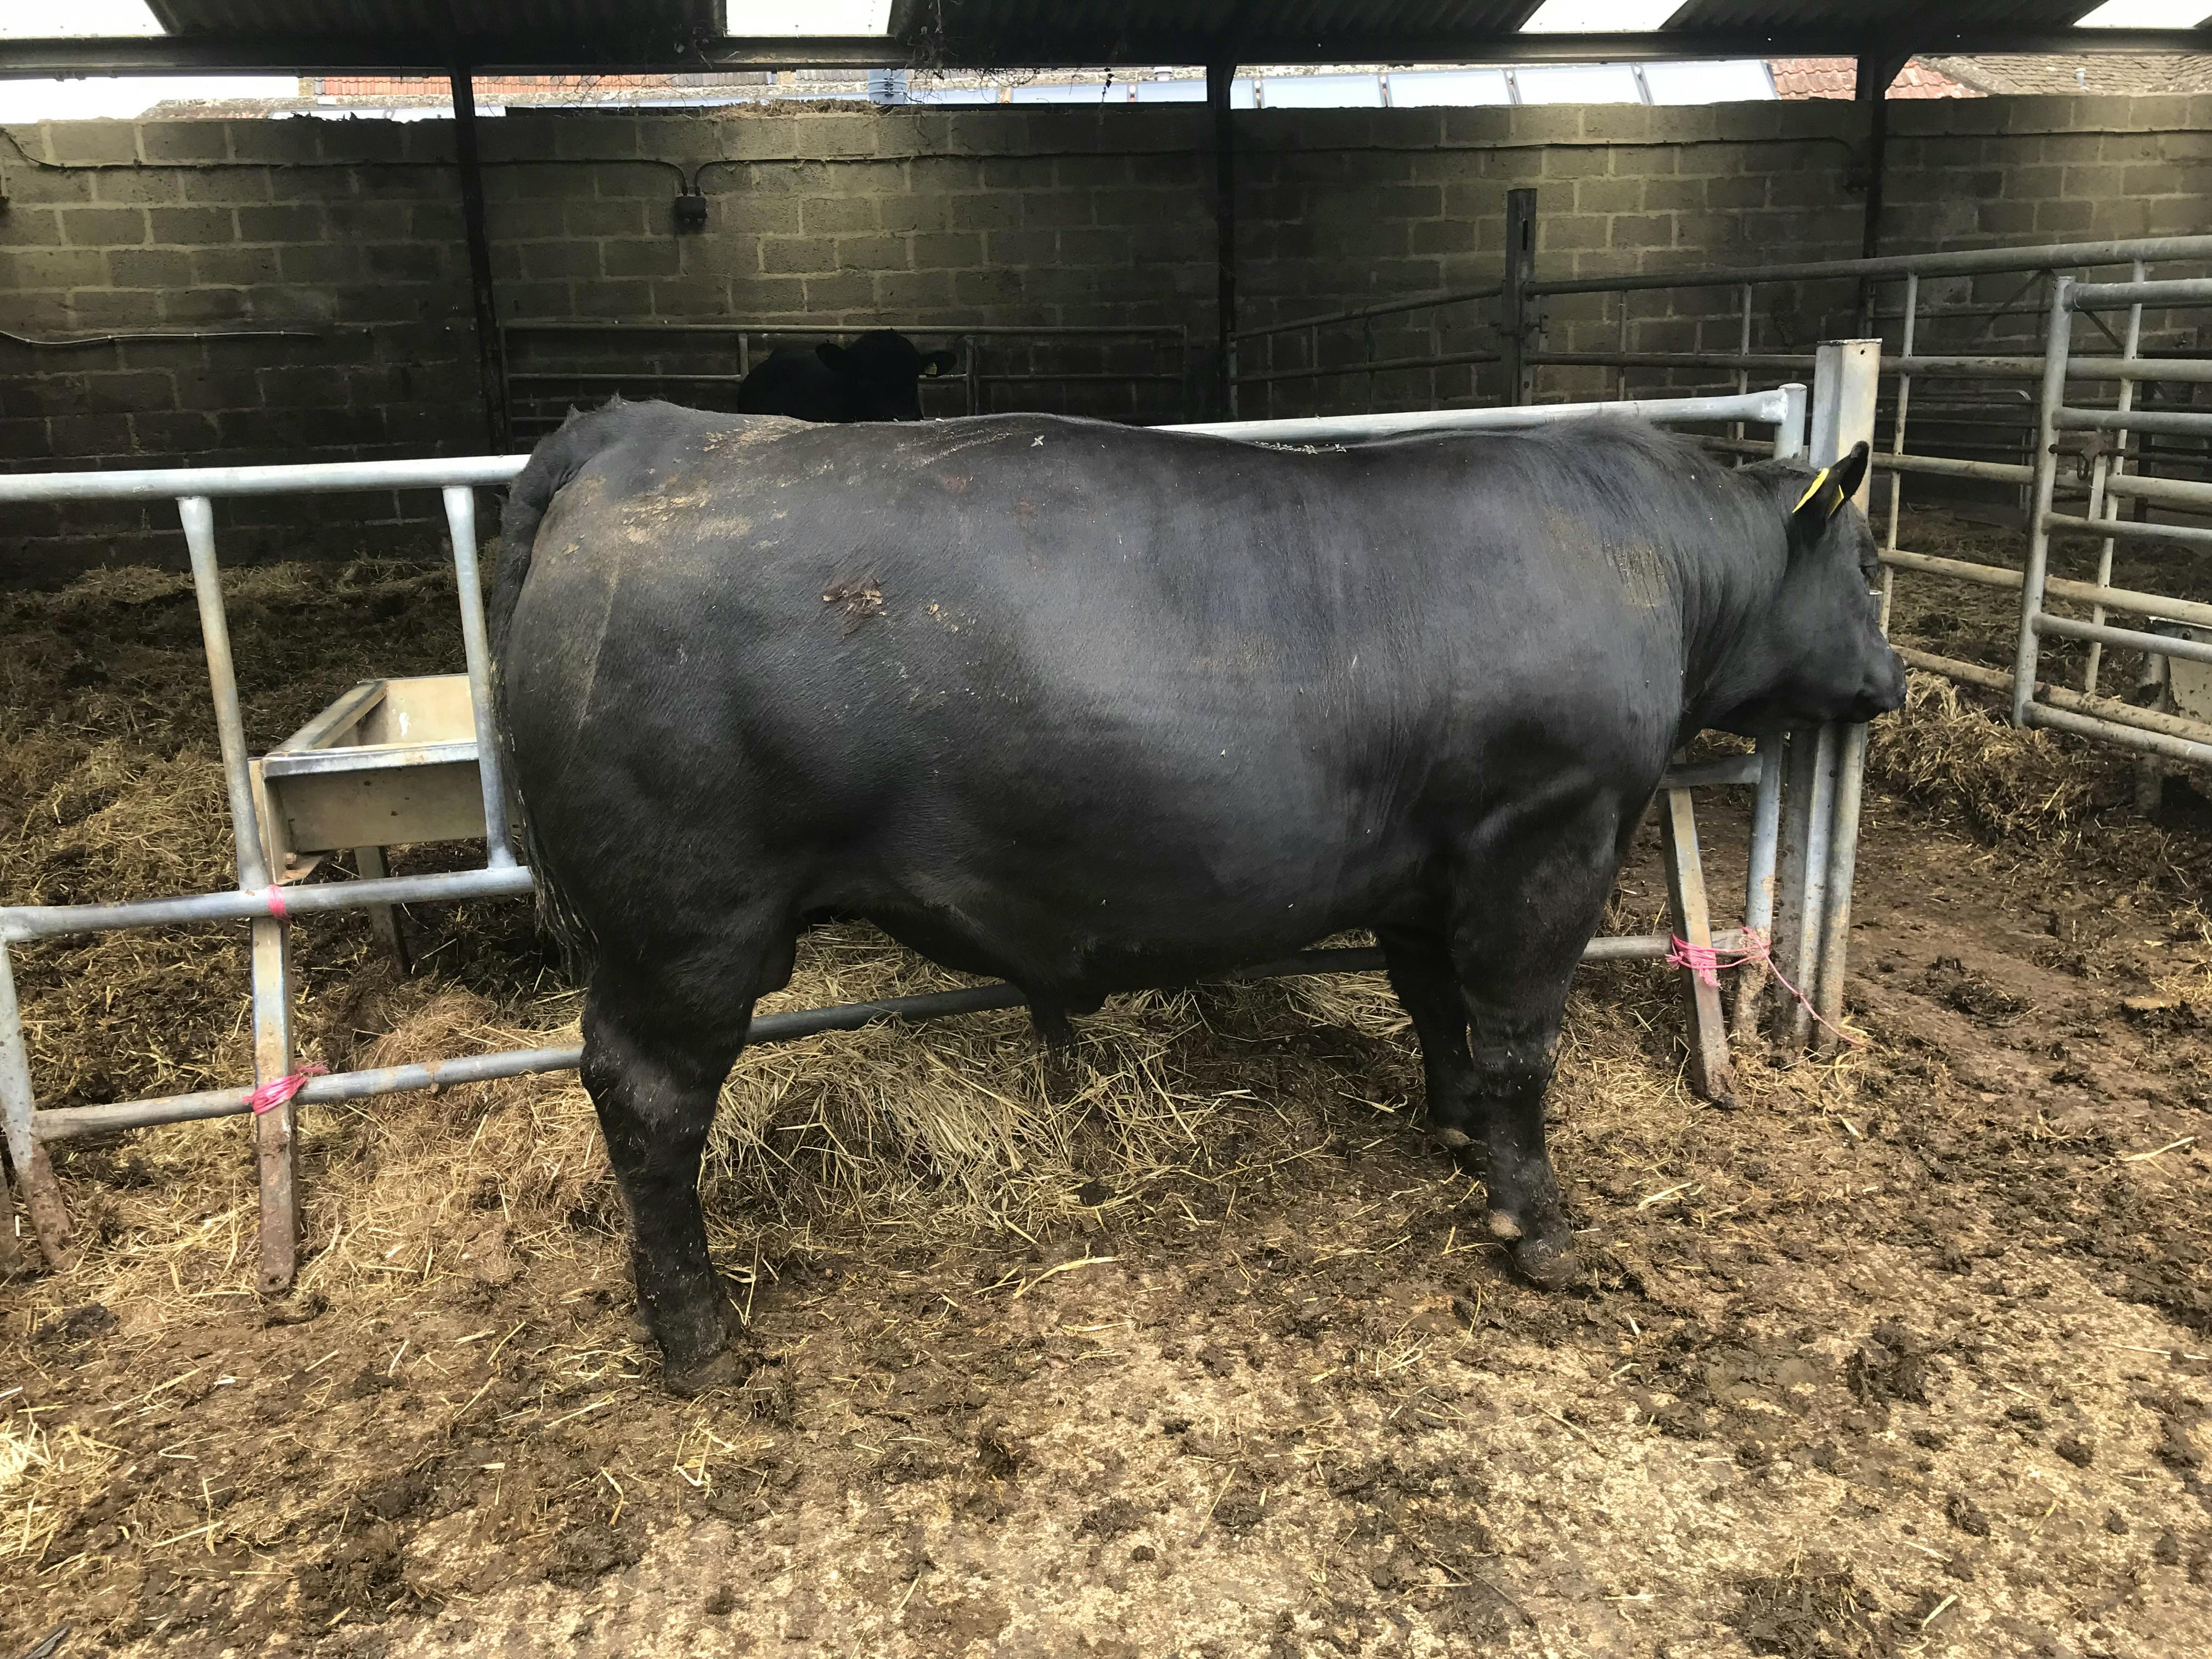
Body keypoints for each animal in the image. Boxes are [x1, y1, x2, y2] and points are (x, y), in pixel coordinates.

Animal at [489, 399, 1902, 1394]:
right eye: (1865, 560)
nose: (1890, 680)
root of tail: (646, 432)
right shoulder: (1548, 833)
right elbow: (1517, 1038)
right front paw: (1539, 1223)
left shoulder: (1427, 862)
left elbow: (1436, 1005)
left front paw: (1452, 1131)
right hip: (685, 923)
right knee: (649, 1101)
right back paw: (696, 1328)